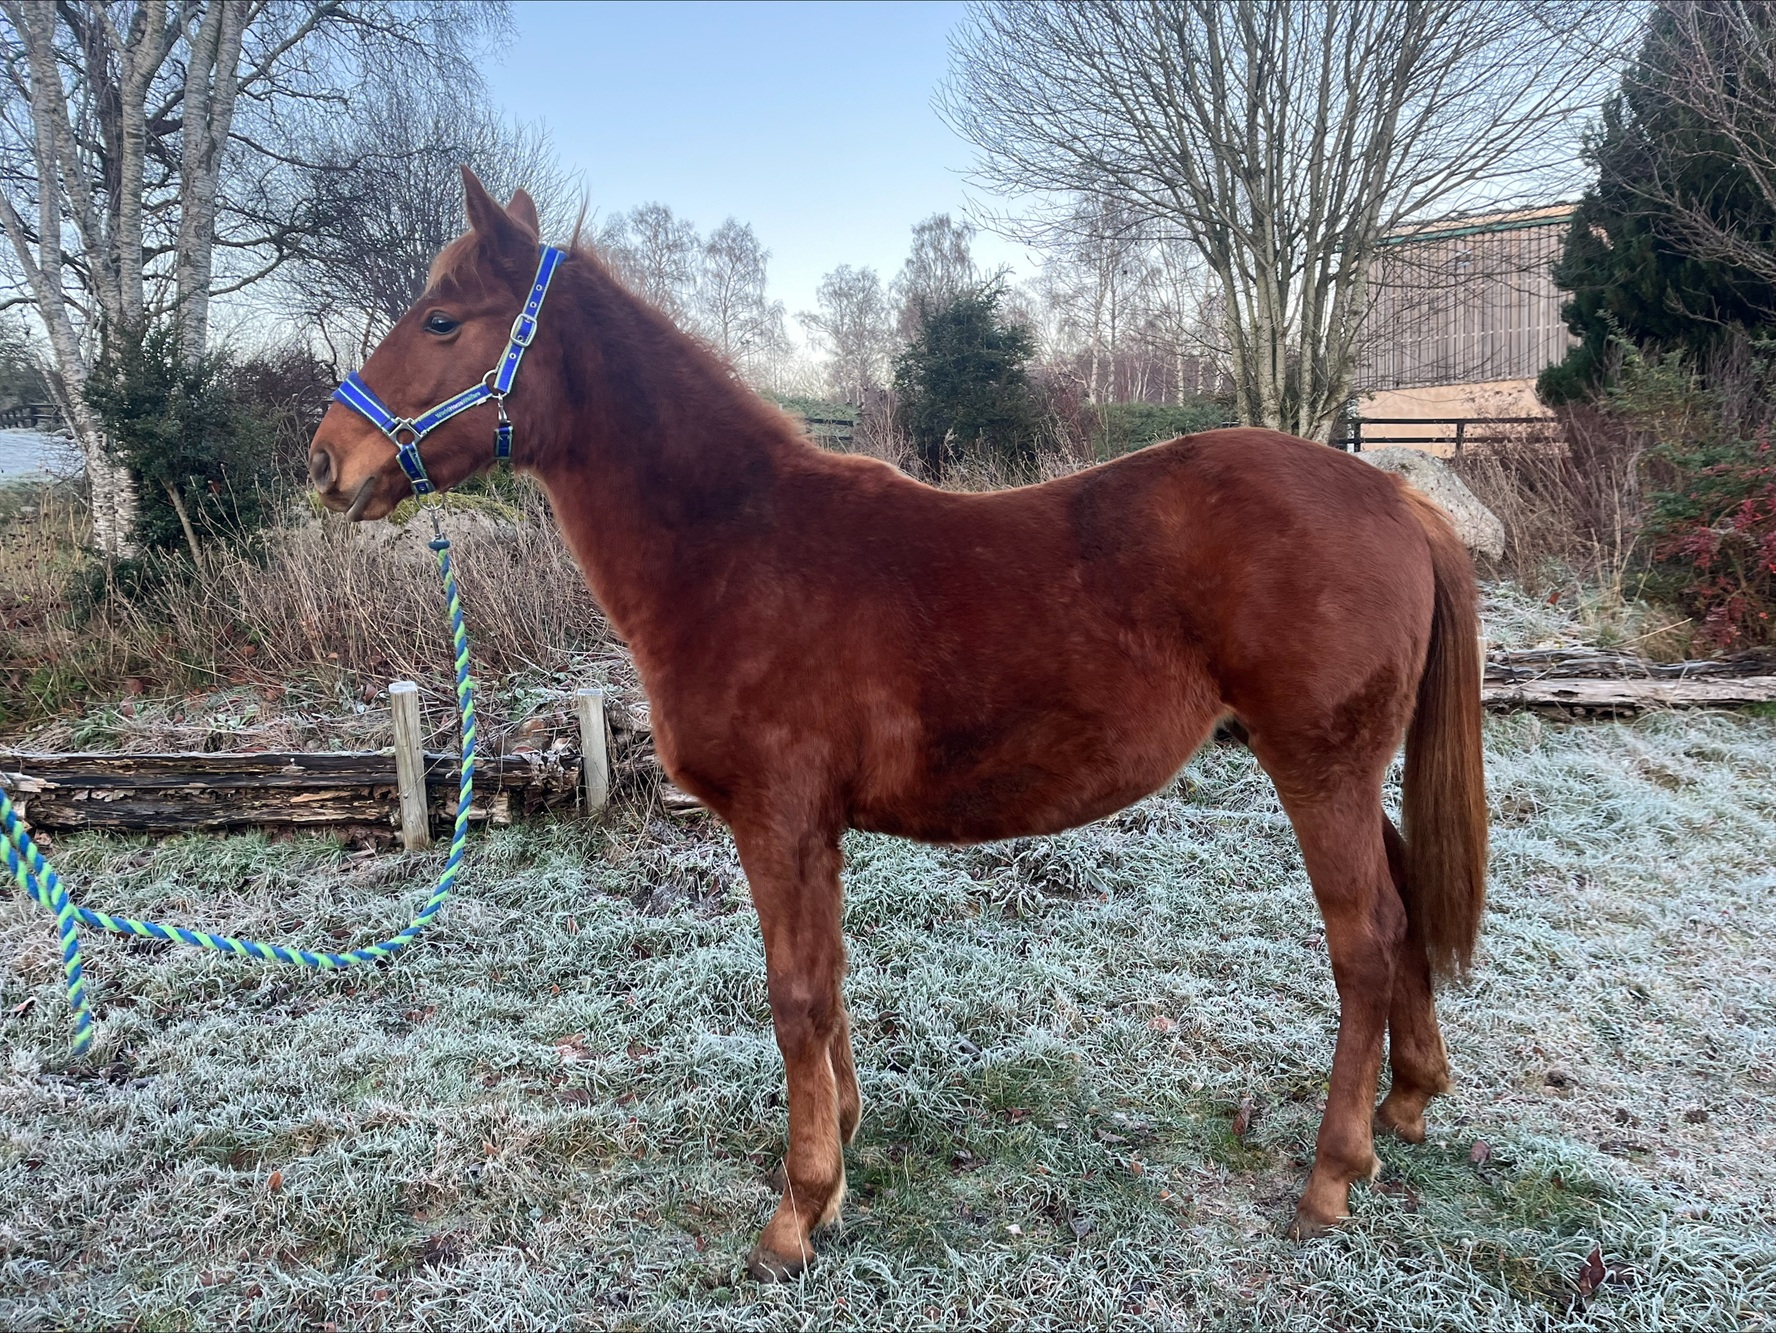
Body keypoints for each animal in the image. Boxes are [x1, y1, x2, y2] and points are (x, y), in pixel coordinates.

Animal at [308, 169, 1488, 1280]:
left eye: (443, 320)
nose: (327, 459)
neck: (736, 547)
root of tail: (1398, 498)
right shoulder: (816, 832)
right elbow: (828, 988)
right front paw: (838, 1157)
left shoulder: (777, 822)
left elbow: (793, 996)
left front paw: (794, 1214)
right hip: (1345, 769)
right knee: (1406, 904)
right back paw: (1407, 1102)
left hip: (1319, 767)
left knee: (1366, 940)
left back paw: (1330, 1175)